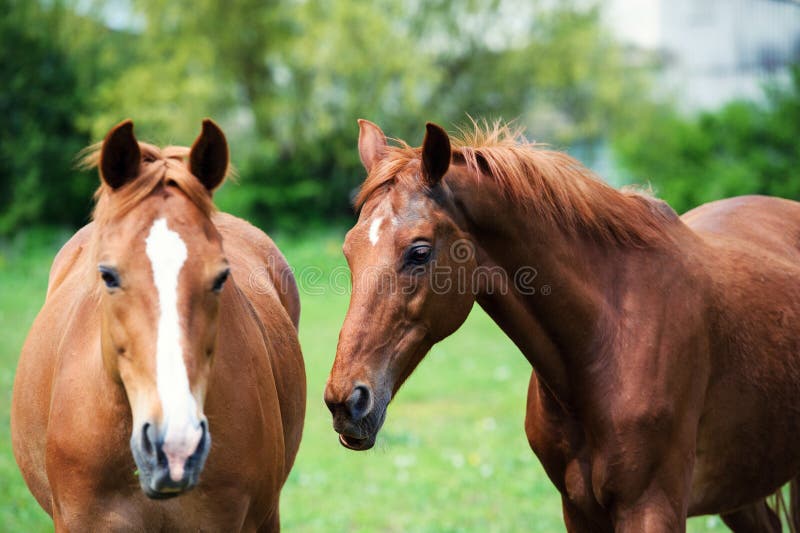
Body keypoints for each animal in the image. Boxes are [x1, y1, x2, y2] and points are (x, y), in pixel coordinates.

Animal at [324, 119, 800, 532]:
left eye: (419, 252)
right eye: (348, 250)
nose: (346, 401)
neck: (609, 338)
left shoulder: (653, 508)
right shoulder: (579, 510)